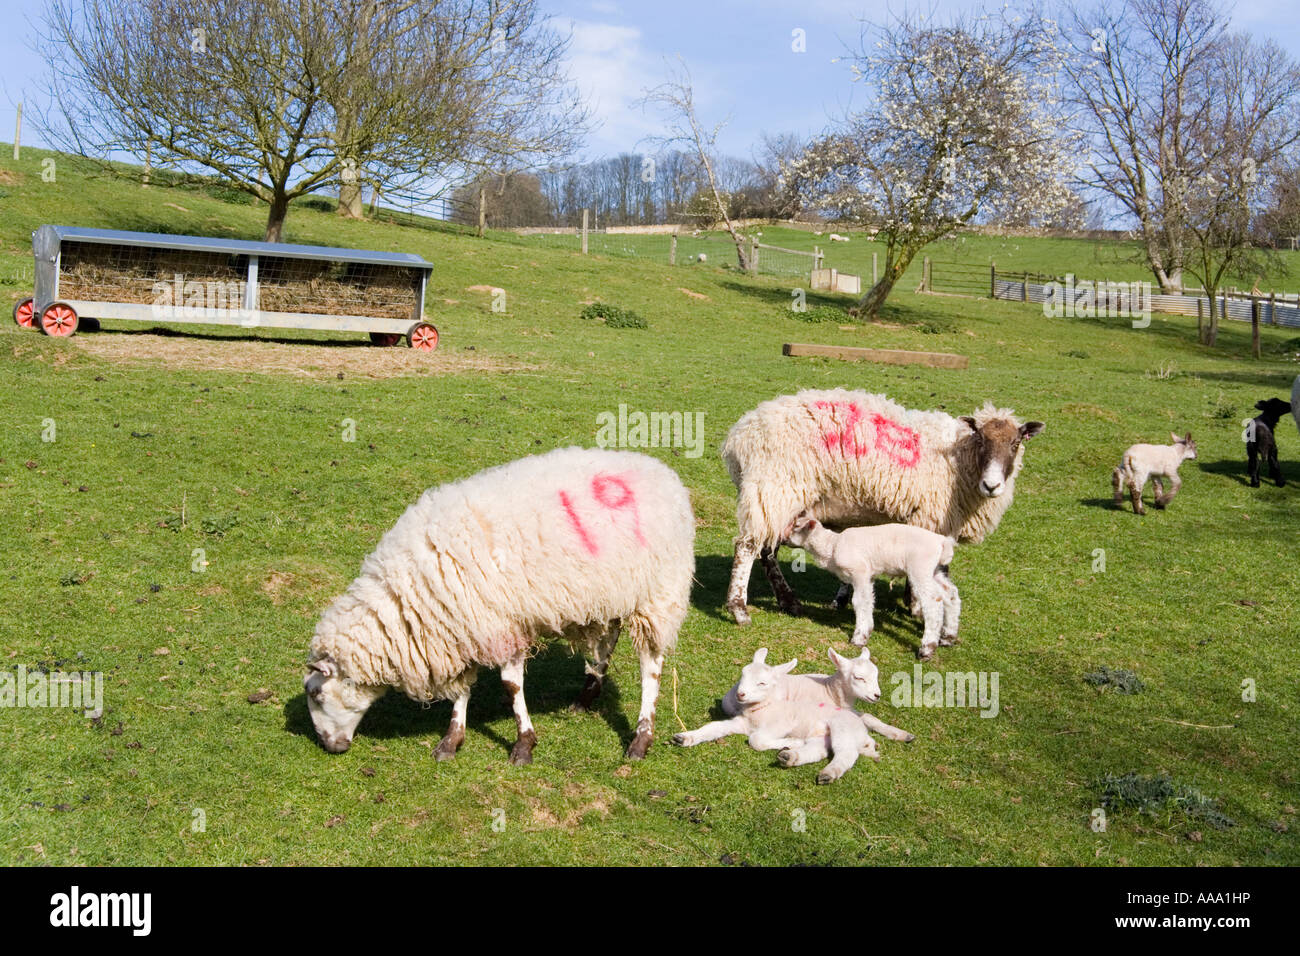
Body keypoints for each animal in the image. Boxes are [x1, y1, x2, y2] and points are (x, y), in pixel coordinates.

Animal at [303, 447, 694, 764]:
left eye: (315, 693)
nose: (328, 746)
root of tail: (664, 473)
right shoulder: (464, 628)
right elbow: (462, 689)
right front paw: (451, 740)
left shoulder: (503, 623)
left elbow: (510, 686)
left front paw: (523, 744)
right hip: (614, 593)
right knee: (607, 641)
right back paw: (587, 694)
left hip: (657, 594)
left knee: (651, 666)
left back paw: (641, 738)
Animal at [672, 649, 879, 784]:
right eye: (742, 676)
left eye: (762, 683)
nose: (740, 694)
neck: (761, 710)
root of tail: (863, 732)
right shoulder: (740, 723)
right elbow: (713, 727)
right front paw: (684, 737)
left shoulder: (782, 723)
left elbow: (756, 740)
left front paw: (791, 741)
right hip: (821, 736)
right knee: (817, 750)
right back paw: (791, 756)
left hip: (843, 728)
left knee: (847, 752)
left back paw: (827, 773)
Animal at [721, 388, 1043, 625]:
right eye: (981, 439)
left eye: (1016, 443)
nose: (992, 486)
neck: (959, 460)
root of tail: (739, 435)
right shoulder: (931, 518)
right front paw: (916, 606)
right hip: (772, 489)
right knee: (748, 547)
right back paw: (739, 609)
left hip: (778, 497)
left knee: (767, 550)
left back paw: (789, 602)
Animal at [721, 646, 914, 742]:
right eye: (858, 677)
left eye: (876, 675)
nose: (876, 695)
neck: (830, 691)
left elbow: (869, 717)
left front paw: (901, 734)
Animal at [786, 514, 959, 661]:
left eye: (796, 526)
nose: (783, 538)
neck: (831, 546)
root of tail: (942, 542)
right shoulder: (867, 577)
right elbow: (868, 601)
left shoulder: (860, 572)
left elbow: (859, 602)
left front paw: (859, 637)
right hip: (935, 570)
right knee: (951, 595)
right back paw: (948, 637)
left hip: (920, 568)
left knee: (932, 603)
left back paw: (927, 649)